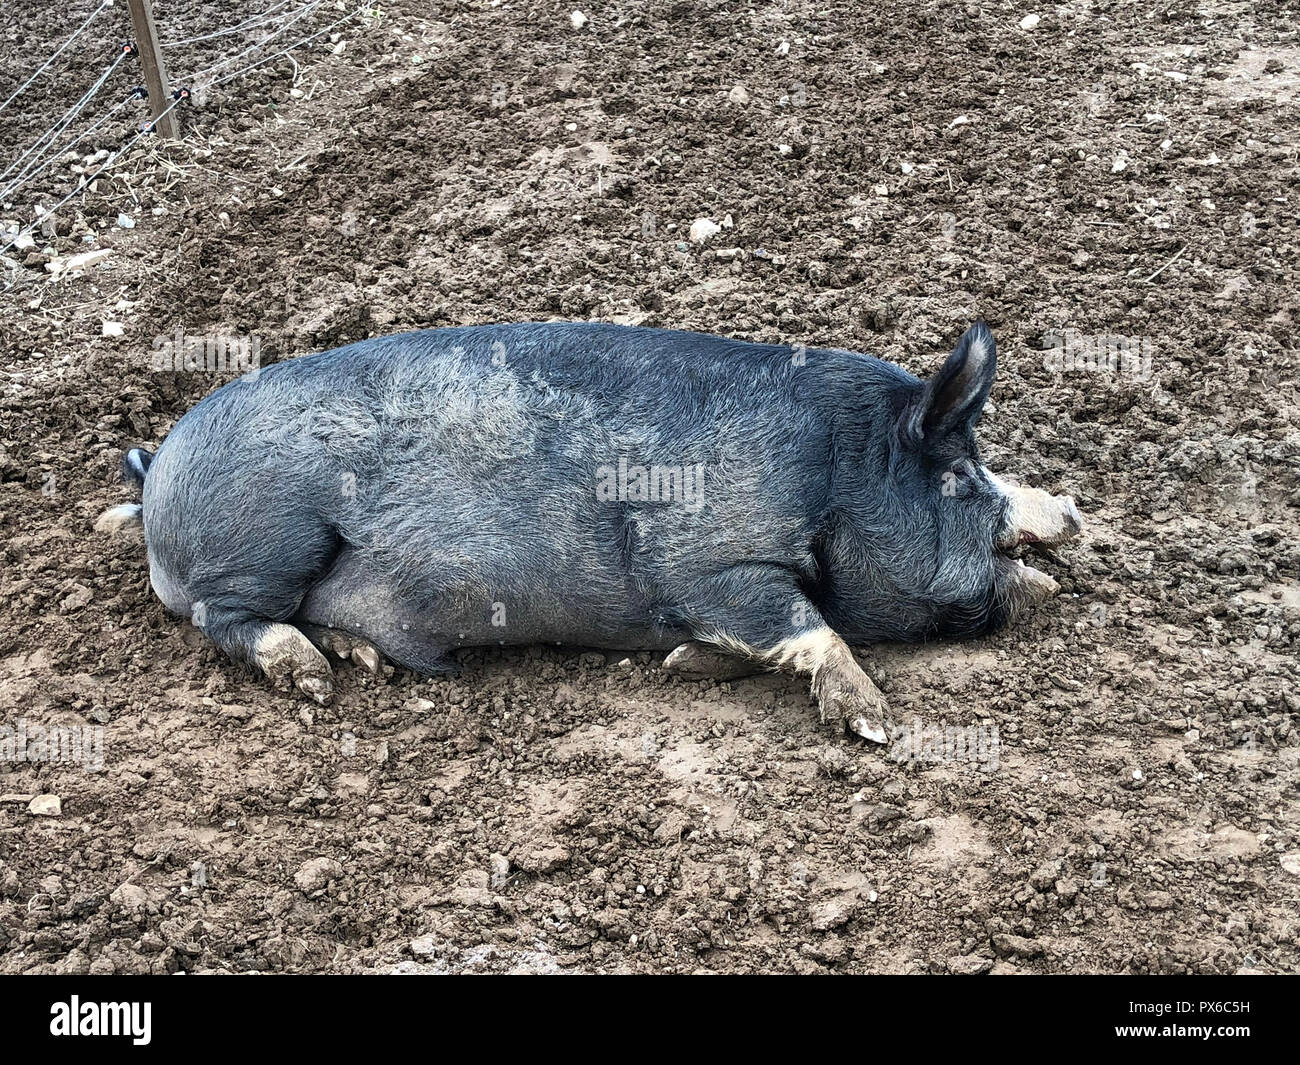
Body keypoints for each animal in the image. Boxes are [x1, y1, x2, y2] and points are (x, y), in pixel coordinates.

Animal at [97, 321, 1081, 742]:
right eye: (960, 478)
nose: (1071, 512)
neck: (835, 470)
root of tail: (156, 471)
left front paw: (683, 664)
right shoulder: (706, 560)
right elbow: (811, 624)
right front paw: (873, 725)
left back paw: (360, 659)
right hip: (264, 539)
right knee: (223, 619)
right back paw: (313, 677)